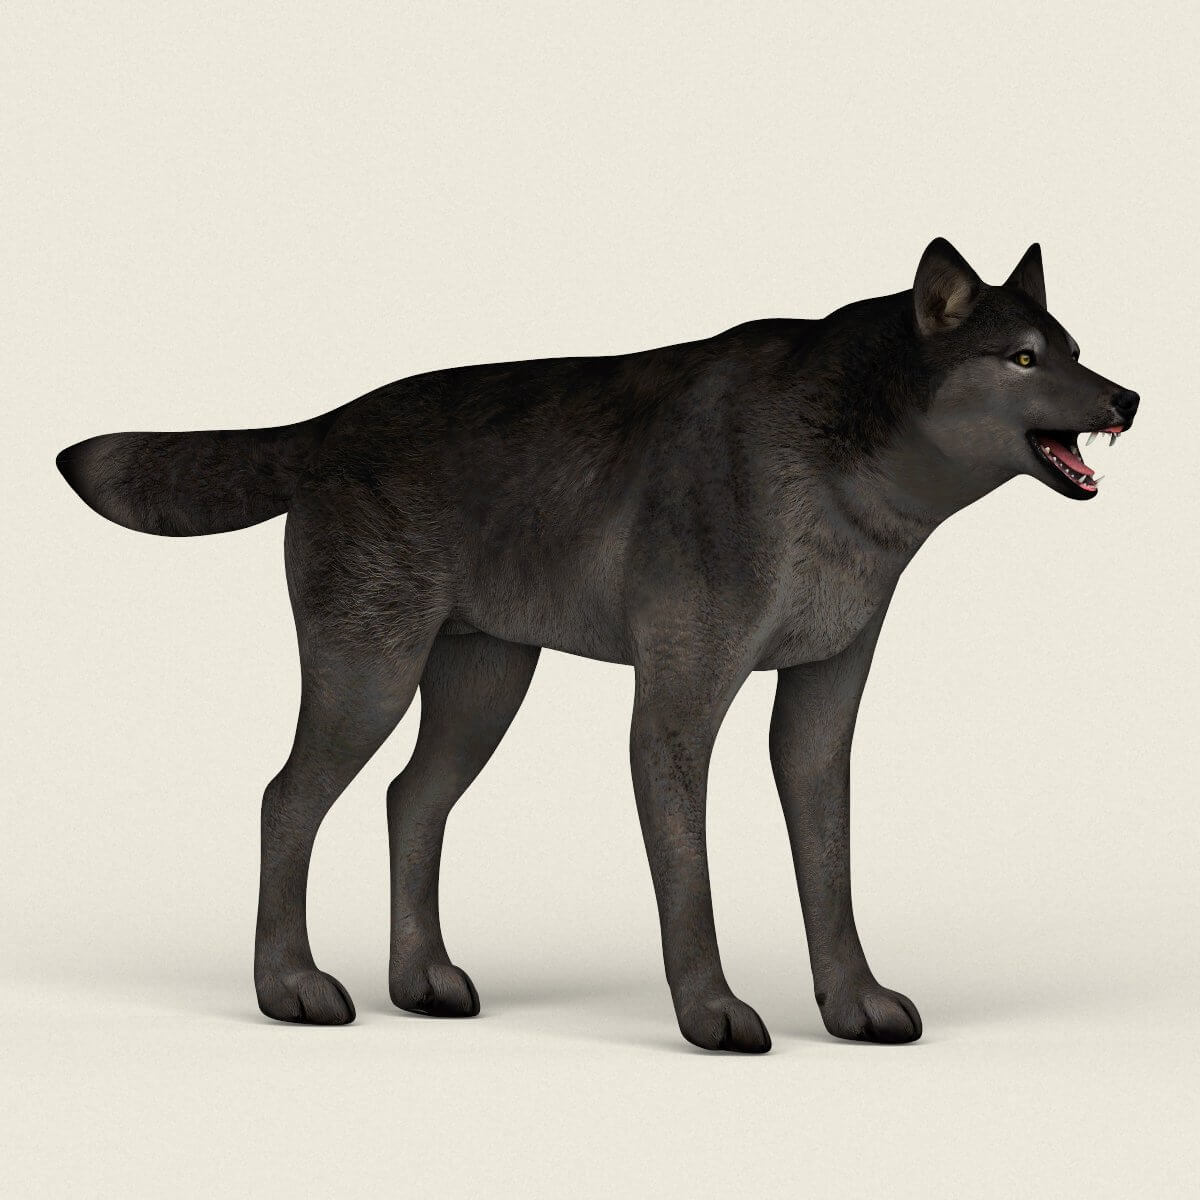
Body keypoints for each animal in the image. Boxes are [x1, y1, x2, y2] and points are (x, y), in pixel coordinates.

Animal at [57, 239, 1139, 1052]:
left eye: (1076, 349)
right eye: (1024, 360)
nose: (1129, 398)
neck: (843, 480)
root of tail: (327, 424)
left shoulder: (819, 712)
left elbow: (828, 873)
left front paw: (854, 1005)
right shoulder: (673, 713)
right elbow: (691, 882)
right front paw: (712, 1014)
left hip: (483, 690)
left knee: (409, 800)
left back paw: (423, 980)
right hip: (372, 682)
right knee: (286, 799)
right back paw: (290, 986)